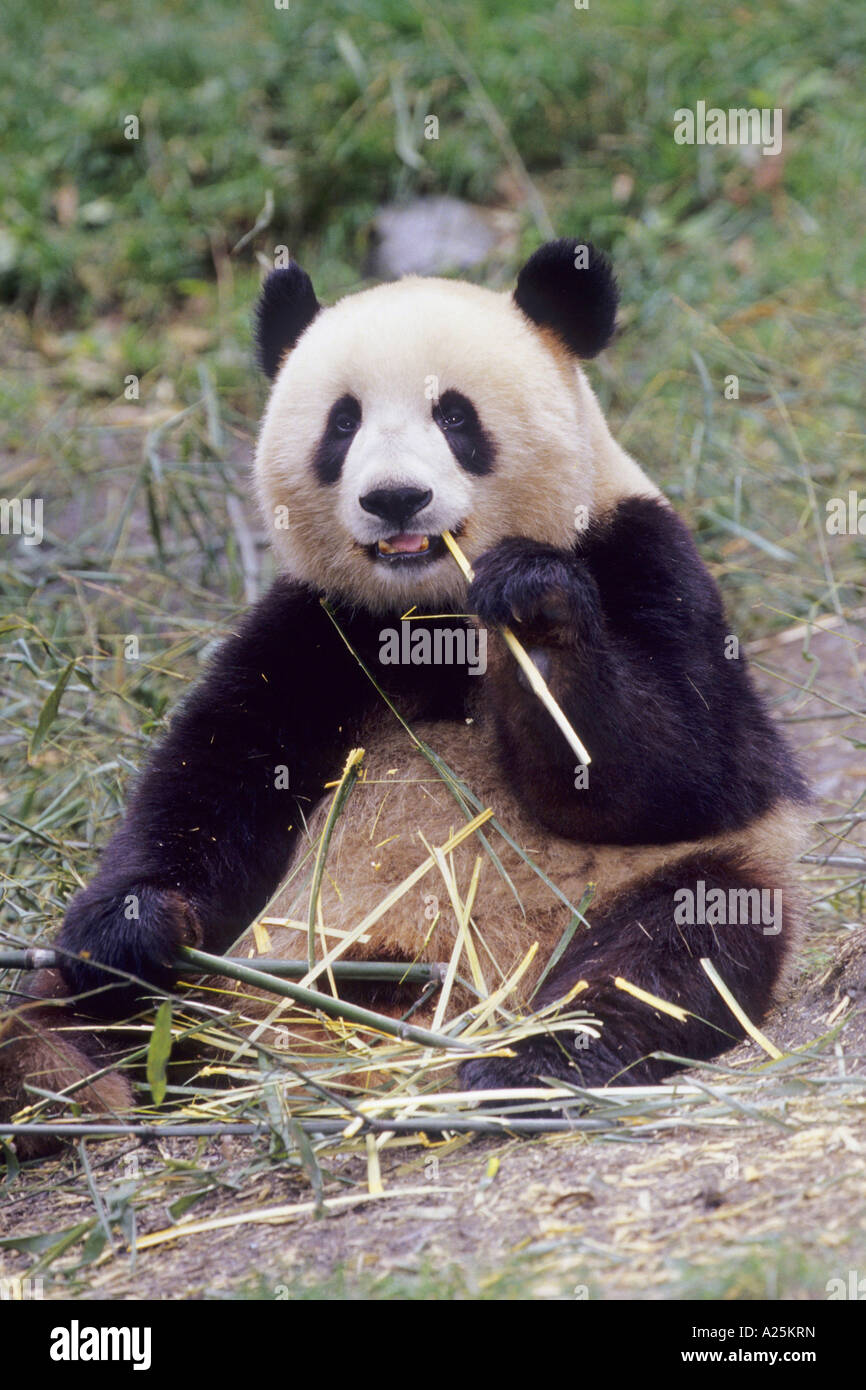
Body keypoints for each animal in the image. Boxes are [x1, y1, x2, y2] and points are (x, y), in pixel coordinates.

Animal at [0, 239, 809, 1143]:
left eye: (455, 418)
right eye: (342, 423)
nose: (395, 499)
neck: (434, 609)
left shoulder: (643, 555)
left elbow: (689, 769)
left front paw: (536, 609)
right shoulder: (321, 625)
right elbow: (216, 776)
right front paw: (131, 926)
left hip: (661, 891)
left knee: (662, 954)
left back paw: (527, 1066)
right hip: (230, 970)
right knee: (73, 994)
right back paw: (57, 1069)